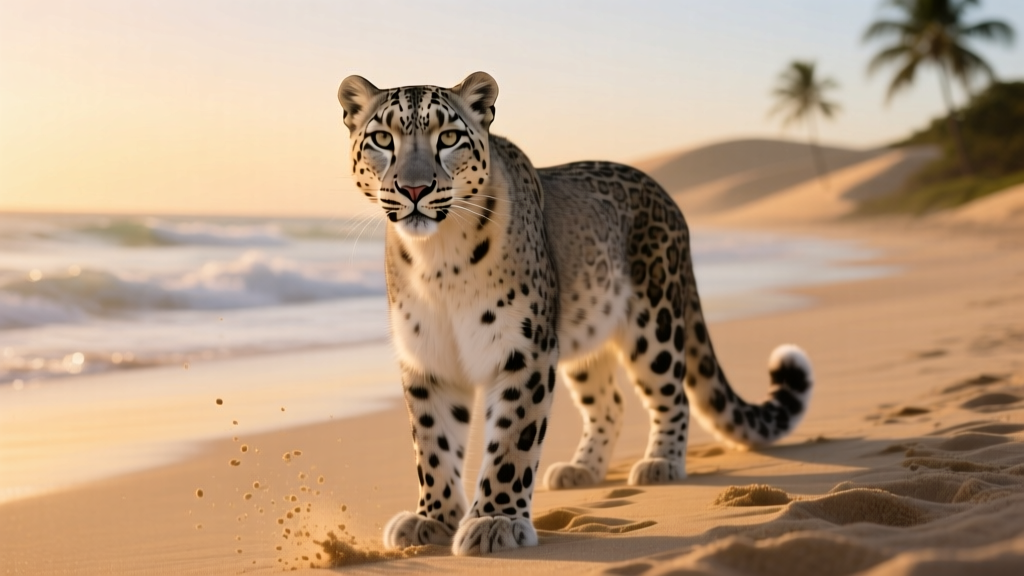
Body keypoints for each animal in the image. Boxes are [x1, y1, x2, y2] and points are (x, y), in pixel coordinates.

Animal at [336, 71, 813, 556]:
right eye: (382, 139)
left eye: (448, 137)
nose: (415, 190)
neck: (439, 258)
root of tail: (666, 196)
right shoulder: (427, 358)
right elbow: (434, 444)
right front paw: (433, 519)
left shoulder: (524, 349)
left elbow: (512, 441)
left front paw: (495, 521)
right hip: (585, 340)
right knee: (610, 403)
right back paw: (581, 469)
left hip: (654, 324)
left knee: (672, 394)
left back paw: (660, 462)